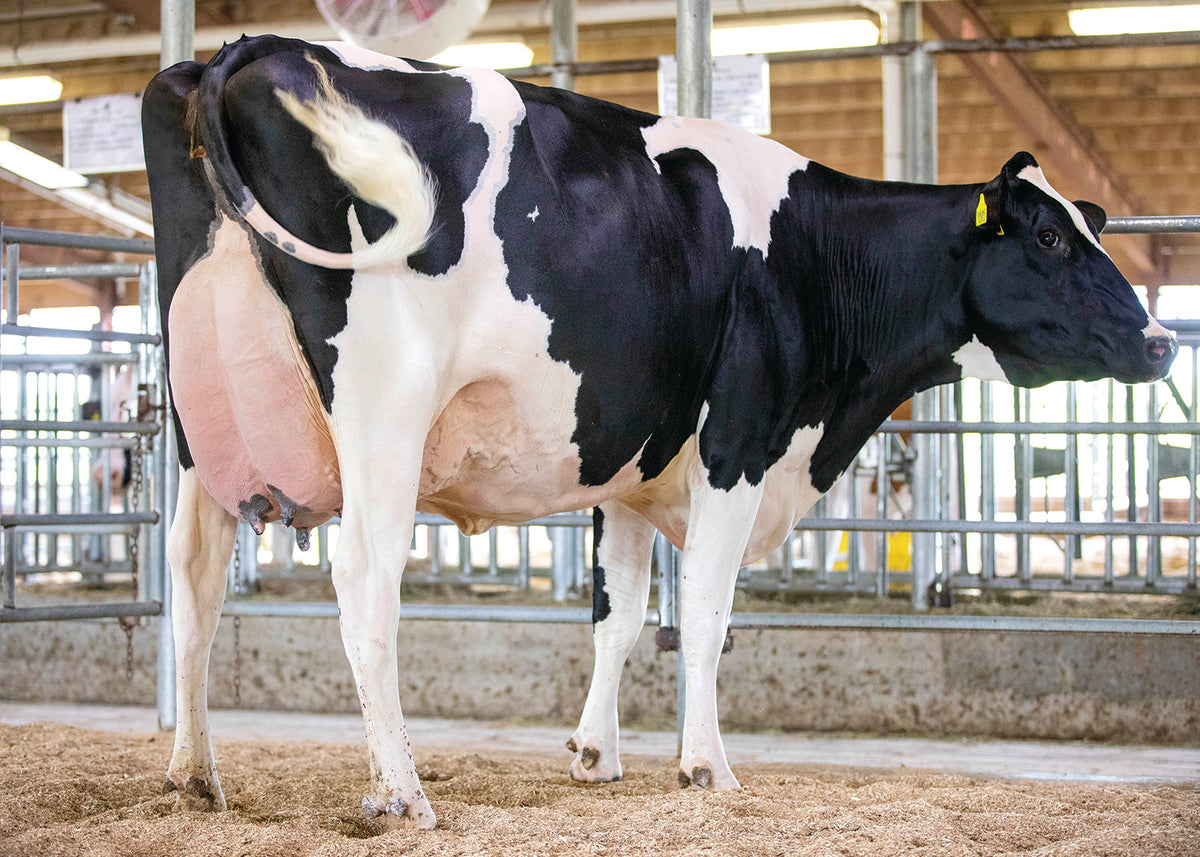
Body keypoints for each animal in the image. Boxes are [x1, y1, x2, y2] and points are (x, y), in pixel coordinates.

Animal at [142, 34, 1176, 831]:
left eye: (1085, 226)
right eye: (1048, 237)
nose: (1162, 340)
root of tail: (253, 49)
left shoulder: (630, 469)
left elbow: (622, 613)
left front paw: (595, 754)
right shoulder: (739, 442)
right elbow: (707, 615)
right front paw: (705, 764)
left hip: (195, 424)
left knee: (192, 575)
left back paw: (194, 777)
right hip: (383, 406)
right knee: (364, 582)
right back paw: (400, 793)